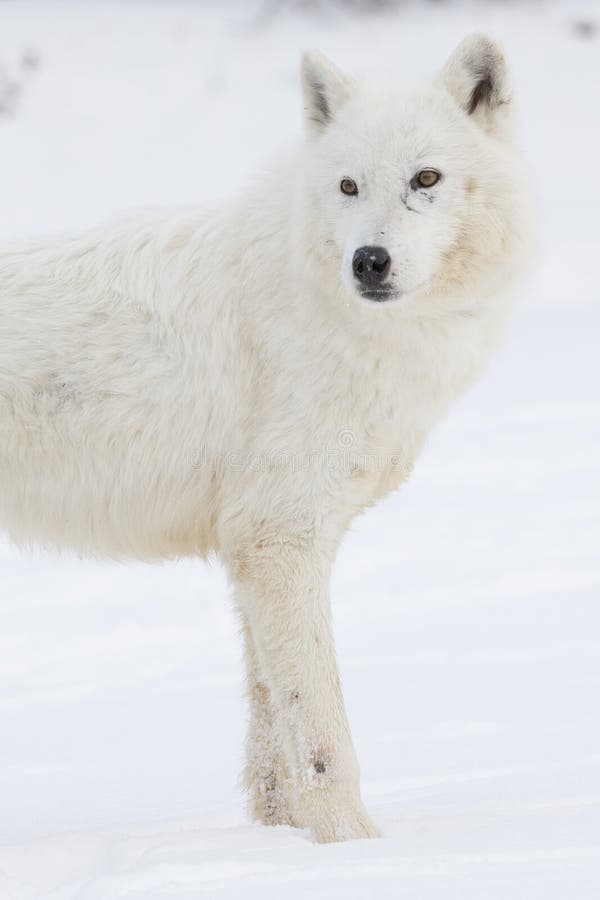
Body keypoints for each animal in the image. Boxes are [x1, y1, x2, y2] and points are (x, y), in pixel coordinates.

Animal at [0, 35, 532, 842]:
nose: (368, 262)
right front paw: (356, 846)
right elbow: (320, 734)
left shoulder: (259, 546)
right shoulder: (280, 539)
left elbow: (271, 732)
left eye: (426, 178)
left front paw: (284, 842)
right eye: (348, 186)